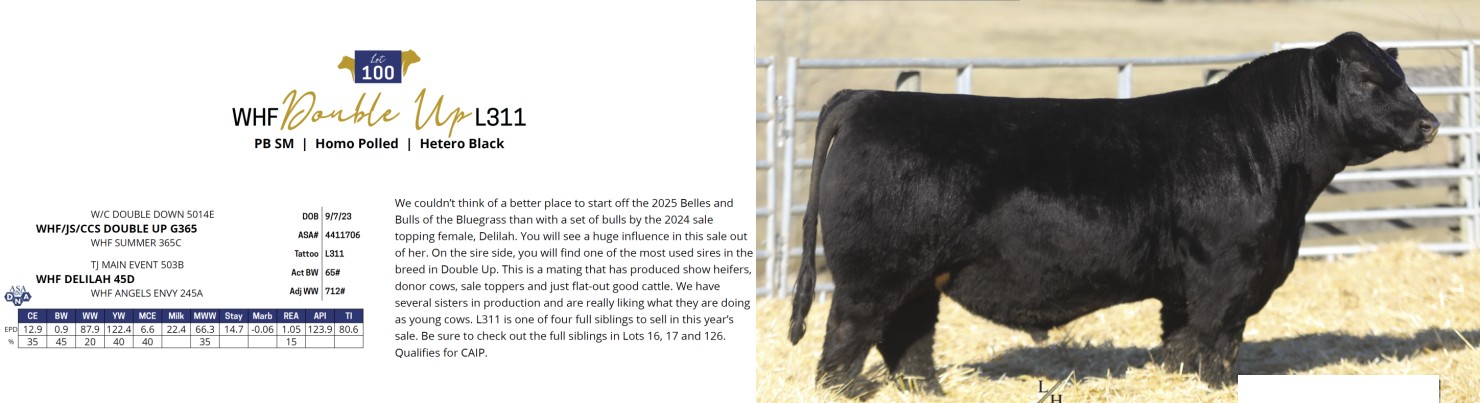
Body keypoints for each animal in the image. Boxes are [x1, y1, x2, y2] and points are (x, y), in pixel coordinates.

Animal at [787, 32, 1438, 398]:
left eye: (1402, 75)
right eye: (1368, 80)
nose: (1429, 123)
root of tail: (867, 96)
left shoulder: (1187, 285)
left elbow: (1180, 342)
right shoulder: (1229, 274)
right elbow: (1220, 342)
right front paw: (1221, 386)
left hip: (920, 276)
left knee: (908, 339)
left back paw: (928, 392)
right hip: (874, 274)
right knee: (846, 337)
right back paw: (849, 391)